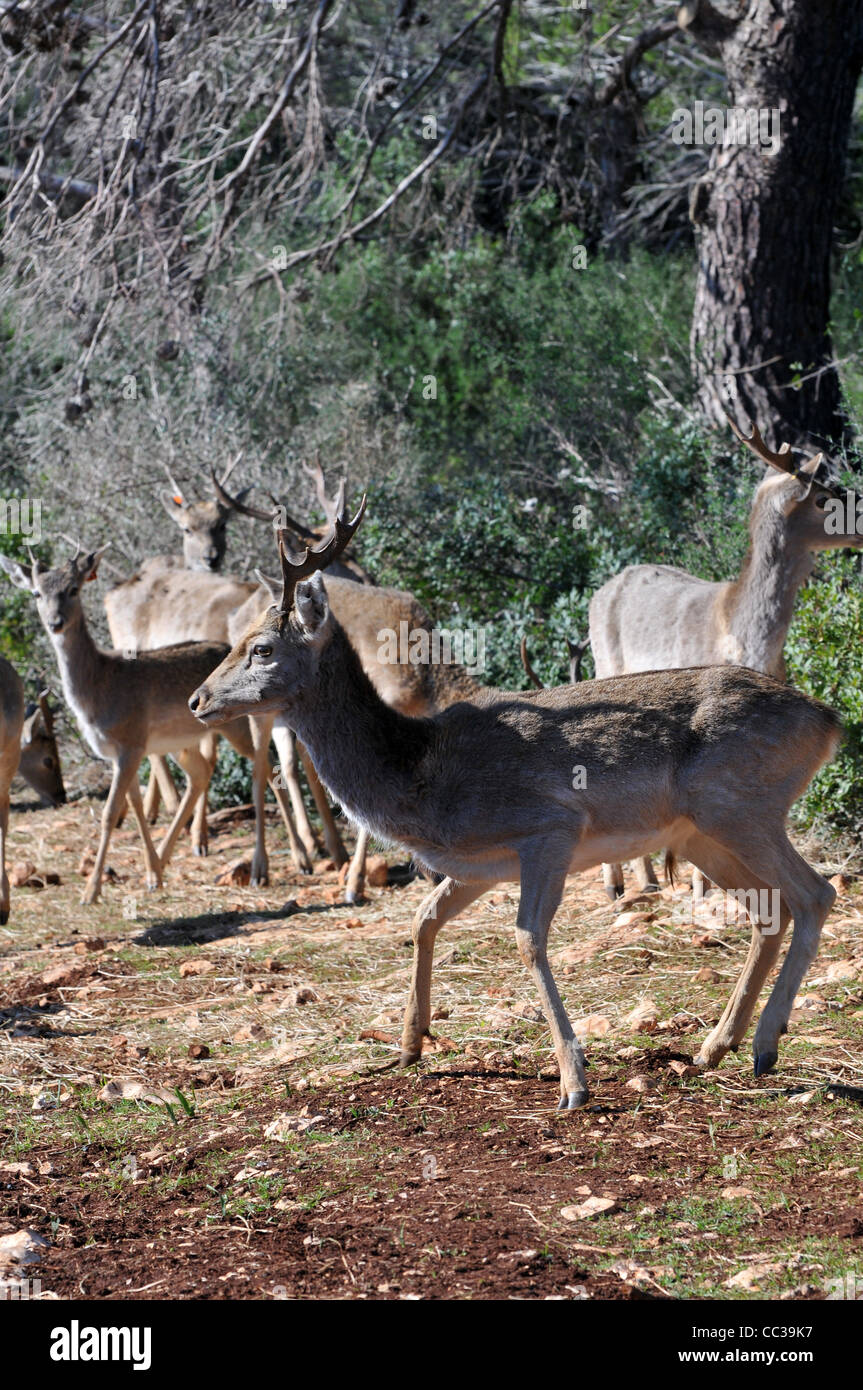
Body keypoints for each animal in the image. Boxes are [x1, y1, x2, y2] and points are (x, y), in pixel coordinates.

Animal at [0, 545, 309, 903]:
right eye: (37, 592)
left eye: (73, 589)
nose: (55, 622)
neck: (98, 688)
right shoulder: (121, 751)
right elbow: (134, 806)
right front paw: (152, 875)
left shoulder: (131, 742)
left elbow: (109, 813)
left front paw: (91, 891)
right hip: (182, 742)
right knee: (202, 773)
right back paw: (169, 856)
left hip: (241, 726)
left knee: (268, 768)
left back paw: (294, 861)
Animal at [189, 498, 841, 1106]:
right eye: (236, 640)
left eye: (262, 648)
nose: (197, 700)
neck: (420, 773)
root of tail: (827, 722)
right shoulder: (479, 865)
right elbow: (423, 919)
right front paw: (408, 1045)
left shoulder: (550, 827)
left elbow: (527, 939)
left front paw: (574, 1080)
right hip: (702, 832)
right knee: (769, 910)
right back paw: (716, 1046)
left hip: (741, 806)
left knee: (815, 893)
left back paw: (764, 1044)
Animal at [589, 415, 860, 902]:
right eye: (825, 497)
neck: (739, 630)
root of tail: (601, 590)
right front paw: (701, 887)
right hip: (606, 665)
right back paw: (620, 884)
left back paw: (644, 880)